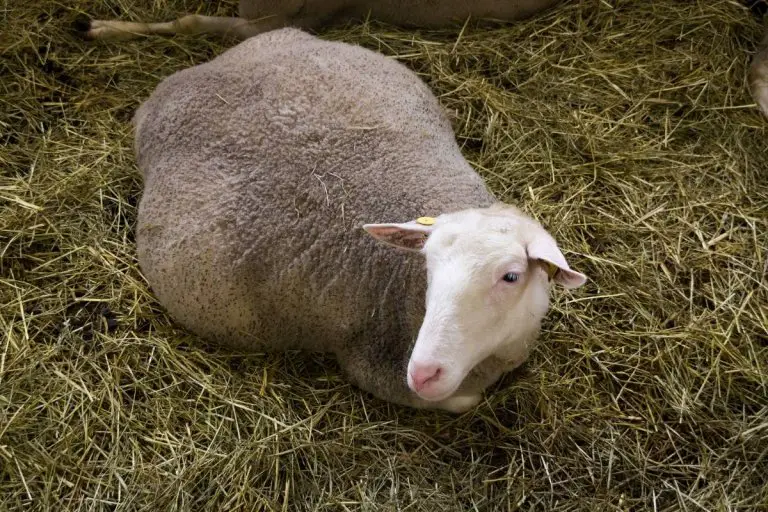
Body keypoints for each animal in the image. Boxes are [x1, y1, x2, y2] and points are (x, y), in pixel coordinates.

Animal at [134, 28, 587, 413]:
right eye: (428, 266)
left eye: (511, 276)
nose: (423, 373)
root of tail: (176, 85)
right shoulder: (374, 366)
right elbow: (464, 401)